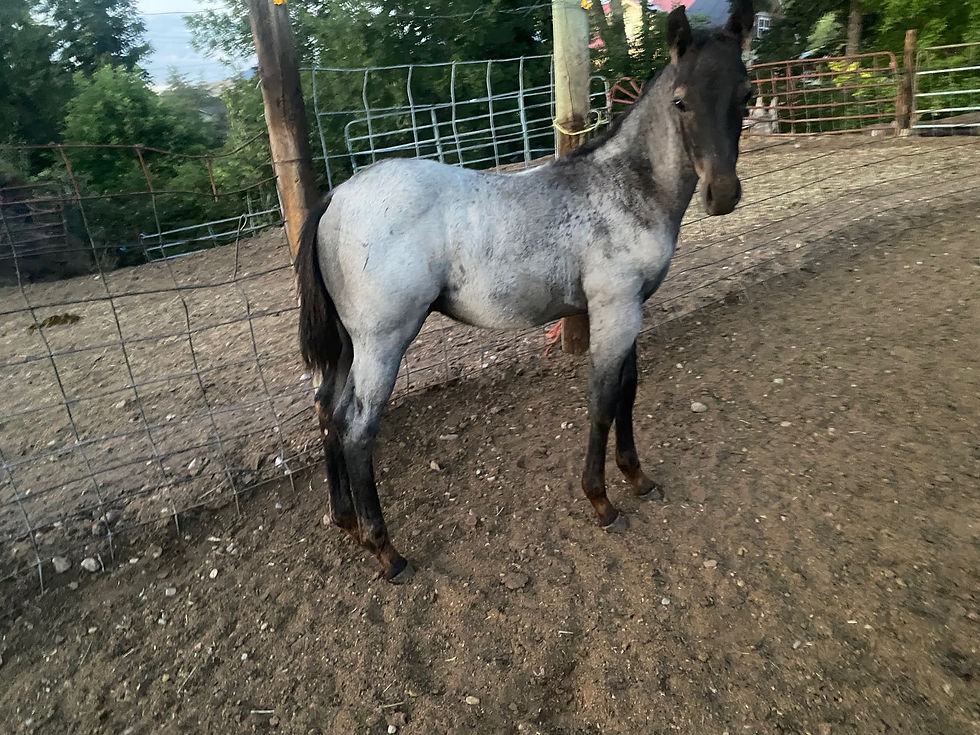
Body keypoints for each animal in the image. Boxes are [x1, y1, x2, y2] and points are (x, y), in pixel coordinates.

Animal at [296, 0, 756, 583]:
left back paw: (346, 522)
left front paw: (638, 478)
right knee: (357, 427)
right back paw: (386, 551)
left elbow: (628, 389)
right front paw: (601, 501)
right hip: (382, 341)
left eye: (746, 94)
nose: (723, 194)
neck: (625, 187)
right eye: (681, 100)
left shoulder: (631, 309)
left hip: (346, 345)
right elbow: (603, 399)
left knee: (327, 412)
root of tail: (337, 195)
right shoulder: (615, 308)